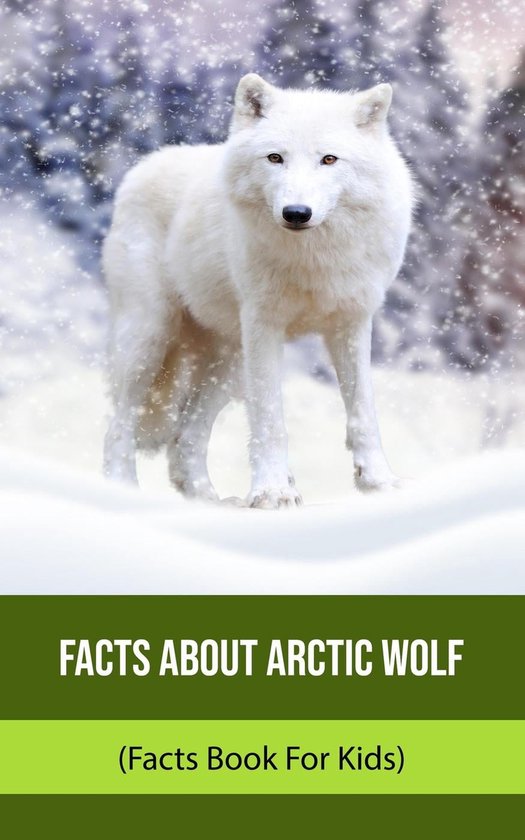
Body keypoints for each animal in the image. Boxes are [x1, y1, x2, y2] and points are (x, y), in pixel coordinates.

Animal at [102, 73, 414, 508]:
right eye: (275, 158)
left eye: (329, 160)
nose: (296, 213)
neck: (312, 260)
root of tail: (144, 165)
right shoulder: (265, 327)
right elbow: (269, 418)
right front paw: (273, 491)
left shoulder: (351, 323)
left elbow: (363, 411)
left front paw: (378, 482)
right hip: (147, 341)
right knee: (119, 423)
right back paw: (124, 489)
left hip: (228, 364)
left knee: (186, 436)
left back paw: (211, 501)